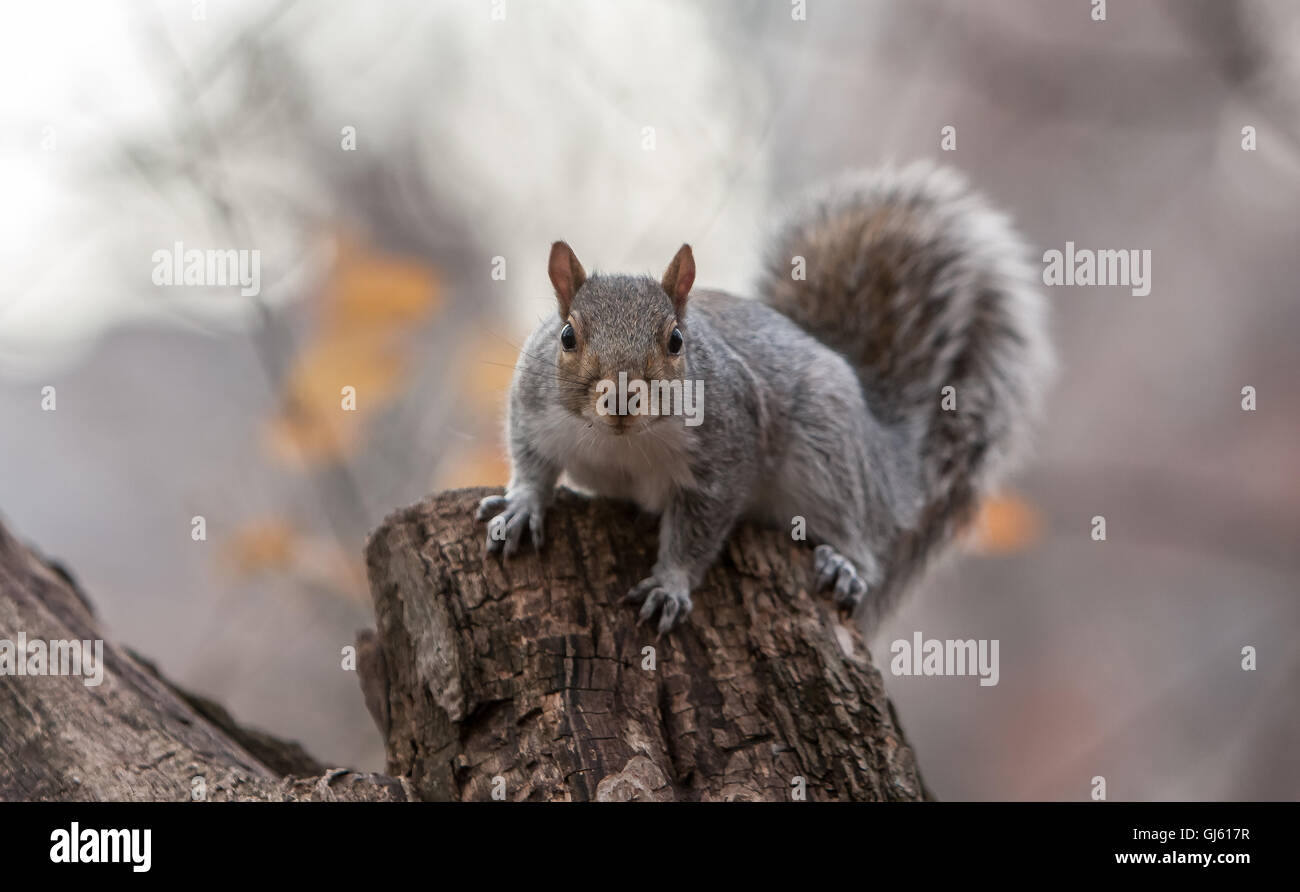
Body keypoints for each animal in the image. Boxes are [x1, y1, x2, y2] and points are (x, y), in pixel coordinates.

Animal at [476, 162, 1052, 635]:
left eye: (676, 340)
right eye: (567, 336)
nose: (621, 399)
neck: (622, 443)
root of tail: (888, 459)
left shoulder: (729, 447)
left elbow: (698, 530)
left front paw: (670, 584)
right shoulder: (532, 408)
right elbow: (532, 462)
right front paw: (522, 506)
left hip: (830, 455)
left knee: (861, 533)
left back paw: (846, 565)